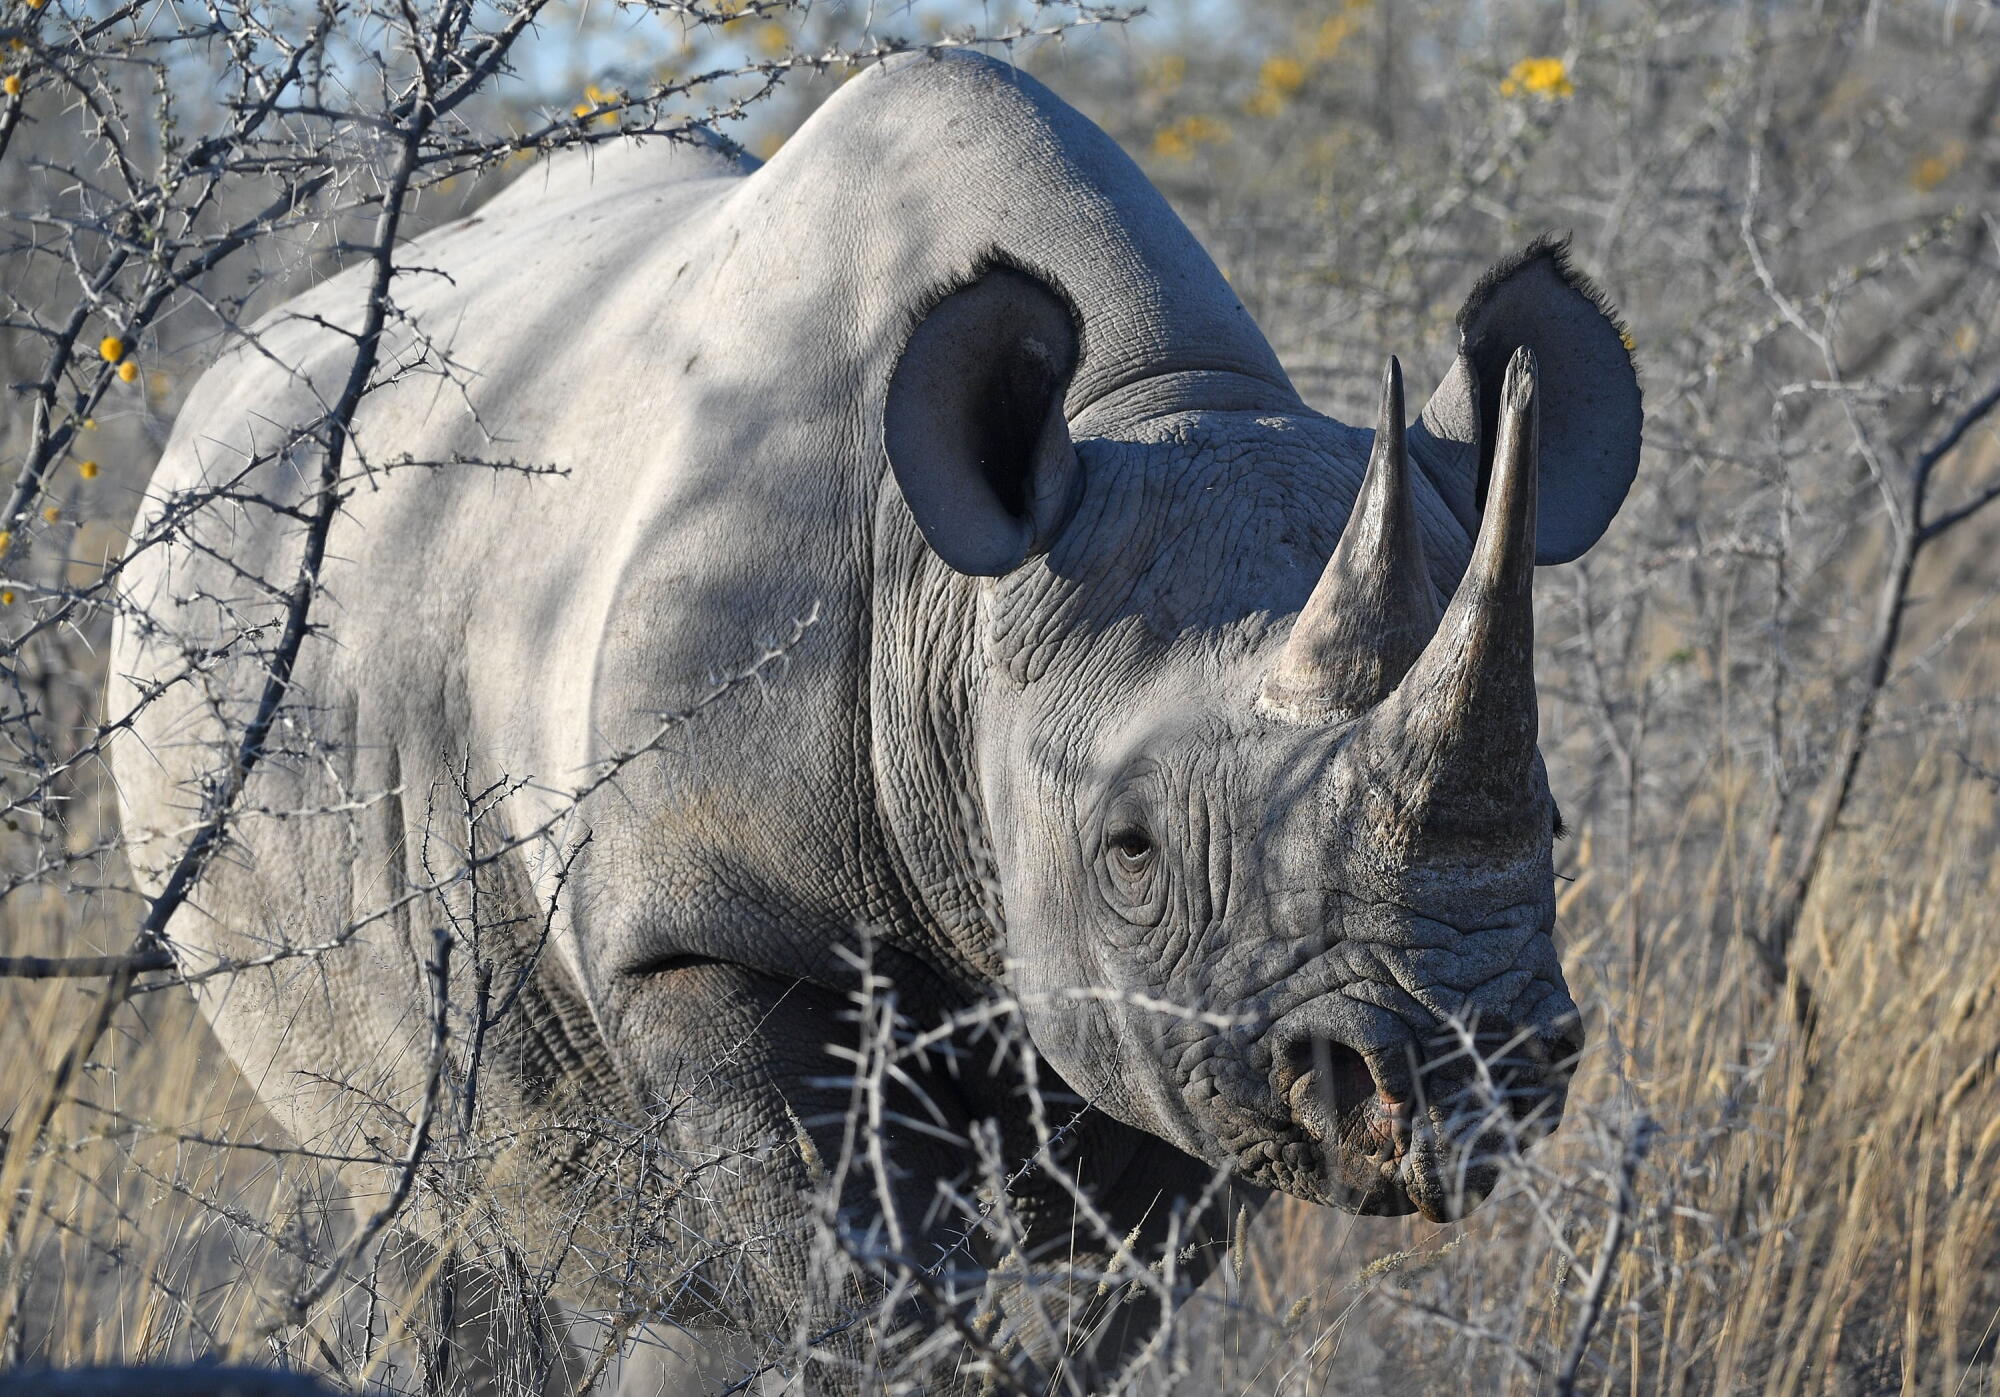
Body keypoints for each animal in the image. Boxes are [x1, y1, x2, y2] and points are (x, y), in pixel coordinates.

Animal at [110, 48, 1640, 1389]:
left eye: (1557, 821)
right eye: (1132, 849)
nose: (1454, 1074)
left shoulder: (1185, 1028)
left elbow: (1101, 1310)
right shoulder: (702, 925)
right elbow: (857, 1292)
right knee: (436, 1196)